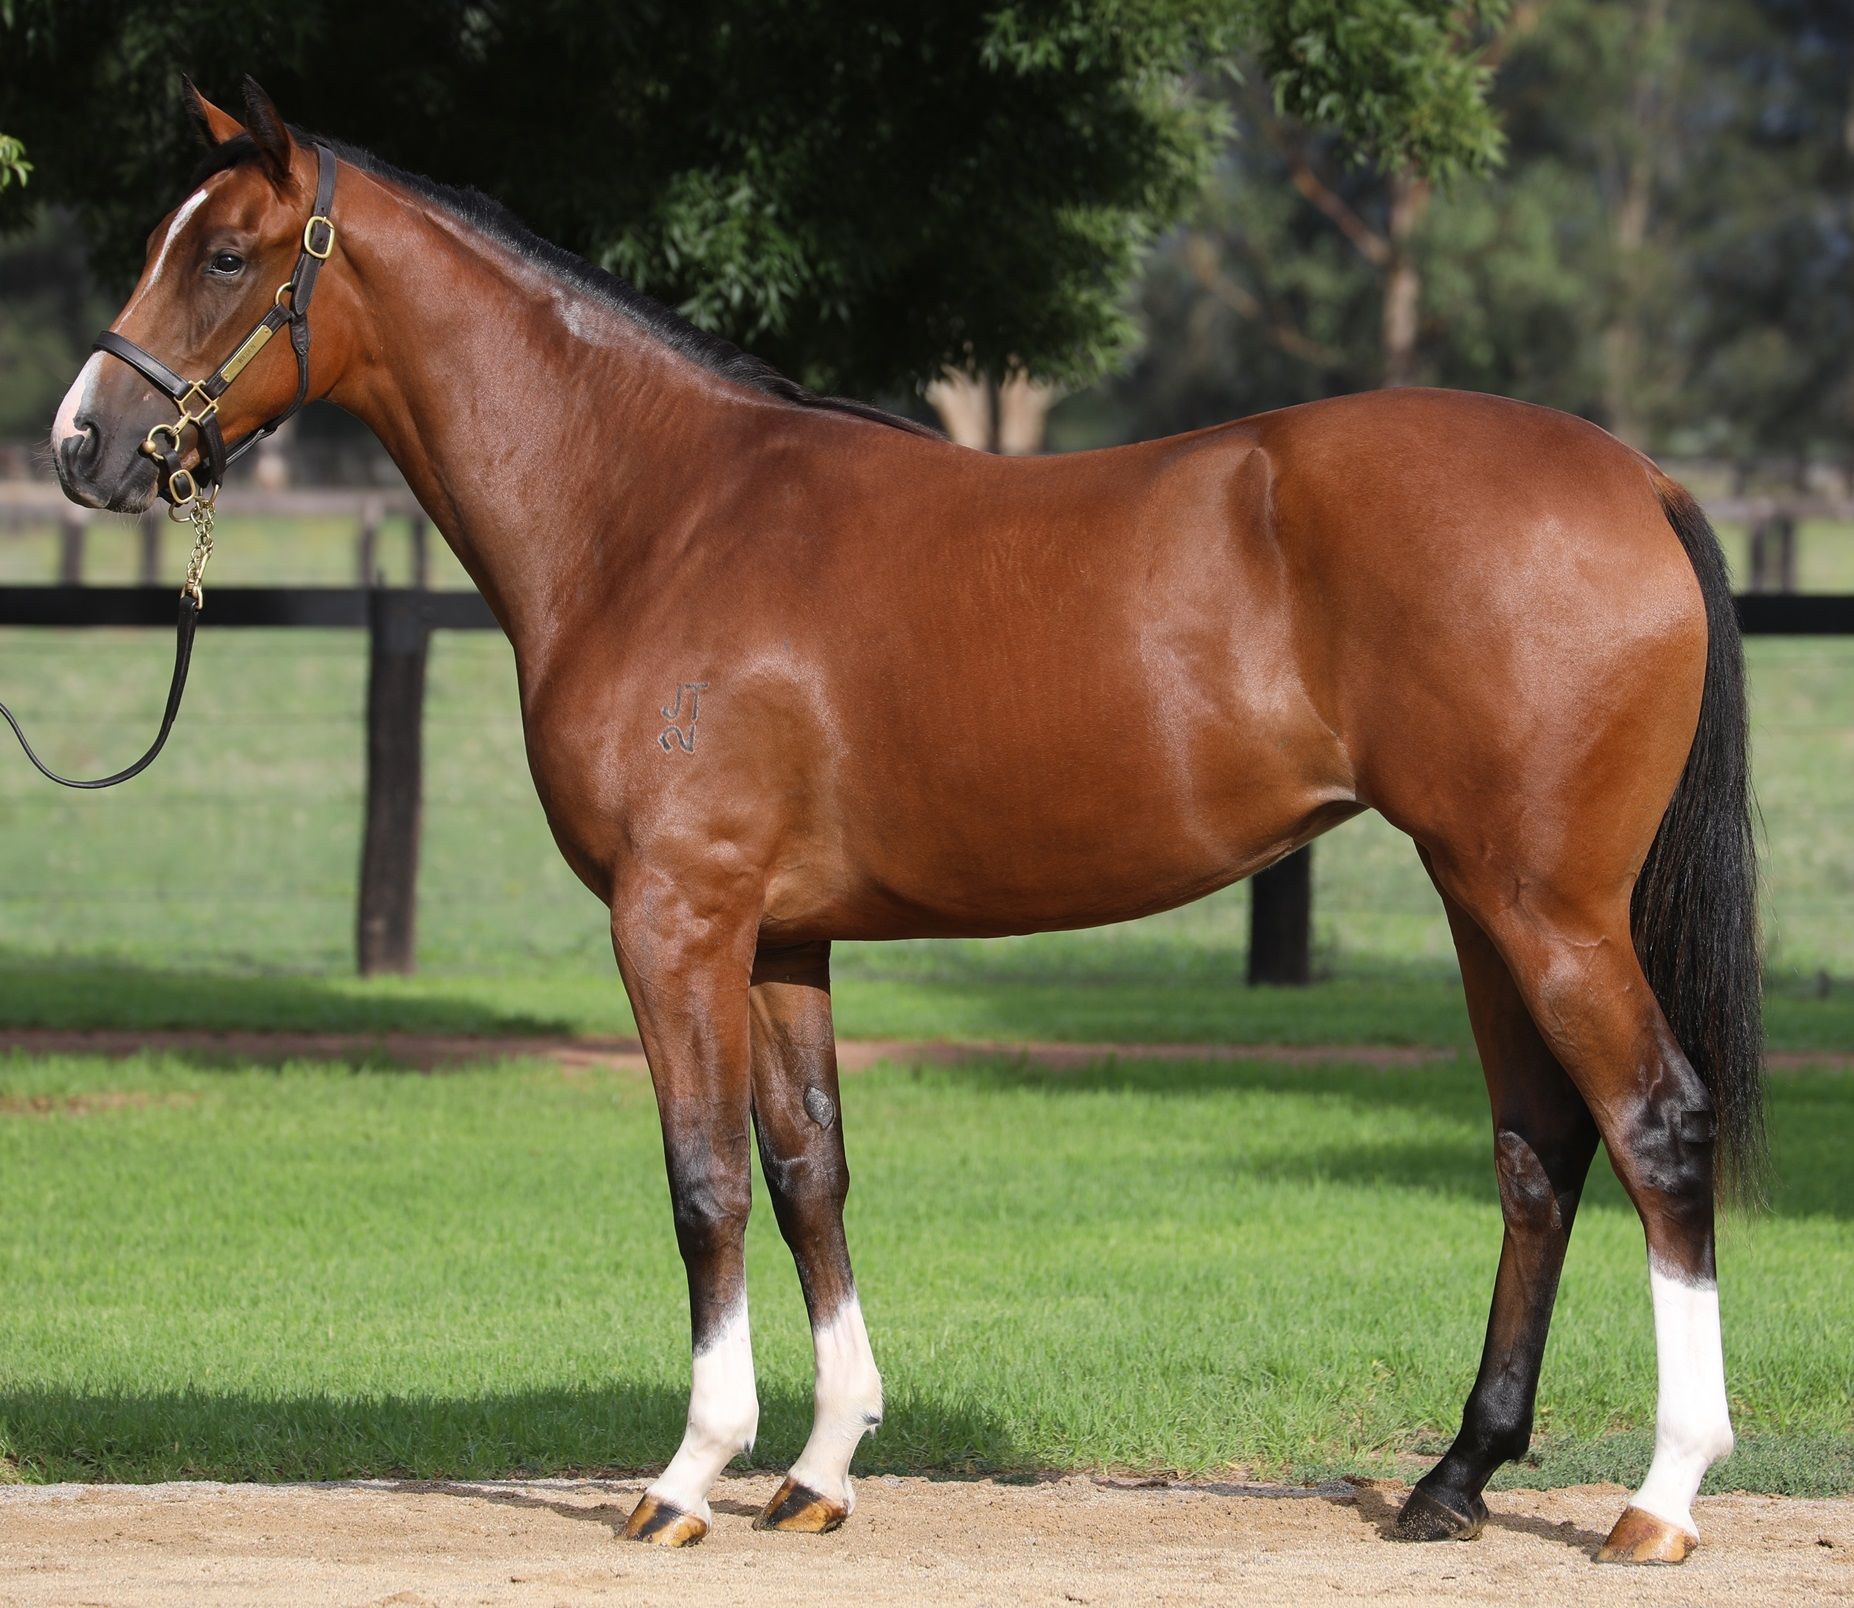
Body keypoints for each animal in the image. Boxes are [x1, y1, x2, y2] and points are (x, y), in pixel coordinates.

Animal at [51, 80, 1762, 1565]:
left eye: (222, 254)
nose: (81, 445)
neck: (657, 514)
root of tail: (1637, 479)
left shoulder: (673, 917)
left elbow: (702, 1181)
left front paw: (687, 1476)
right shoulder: (778, 937)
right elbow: (808, 1168)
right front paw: (816, 1471)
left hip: (1543, 906)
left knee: (1655, 1125)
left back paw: (1660, 1499)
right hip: (1482, 901)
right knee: (1538, 1151)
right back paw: (1454, 1480)